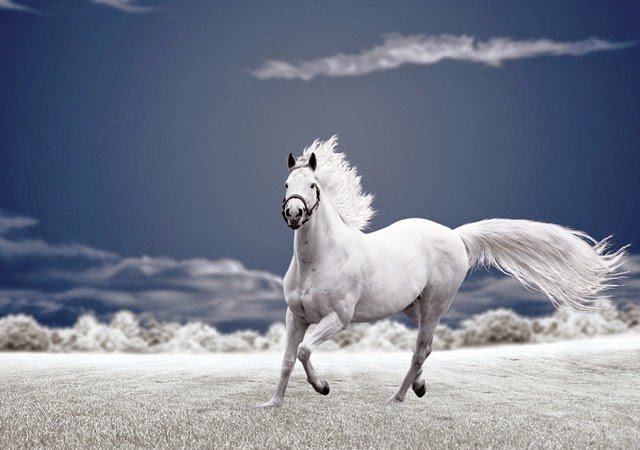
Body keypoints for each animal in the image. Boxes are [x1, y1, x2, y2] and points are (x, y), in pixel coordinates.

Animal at [260, 136, 626, 407]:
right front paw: (274, 404)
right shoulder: (296, 317)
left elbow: (304, 351)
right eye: (287, 183)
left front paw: (322, 387)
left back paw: (398, 398)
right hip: (416, 307)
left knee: (420, 349)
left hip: (435, 304)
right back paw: (418, 387)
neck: (320, 259)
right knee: (428, 346)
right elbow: (287, 359)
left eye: (313, 185)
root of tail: (456, 236)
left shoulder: (338, 318)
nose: (294, 213)